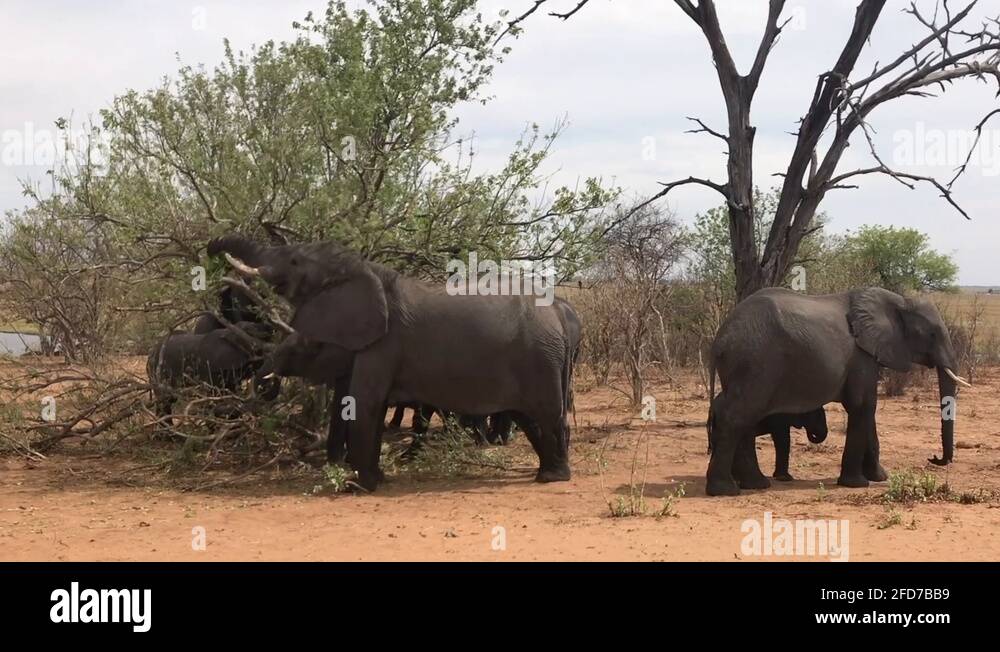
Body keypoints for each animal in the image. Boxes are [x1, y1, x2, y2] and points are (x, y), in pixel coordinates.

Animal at [208, 235, 574, 491]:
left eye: (295, 260)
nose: (212, 253)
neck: (365, 269)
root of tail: (558, 313)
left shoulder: (383, 344)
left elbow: (365, 404)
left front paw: (358, 487)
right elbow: (367, 405)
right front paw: (375, 480)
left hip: (539, 358)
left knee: (547, 414)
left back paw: (553, 478)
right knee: (529, 417)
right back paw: (546, 473)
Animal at [705, 286, 969, 496]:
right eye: (932, 334)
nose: (934, 458)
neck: (898, 300)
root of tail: (718, 341)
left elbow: (867, 410)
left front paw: (879, 477)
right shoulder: (861, 355)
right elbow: (863, 405)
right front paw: (857, 484)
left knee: (745, 418)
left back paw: (754, 484)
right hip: (755, 362)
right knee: (738, 416)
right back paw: (726, 490)